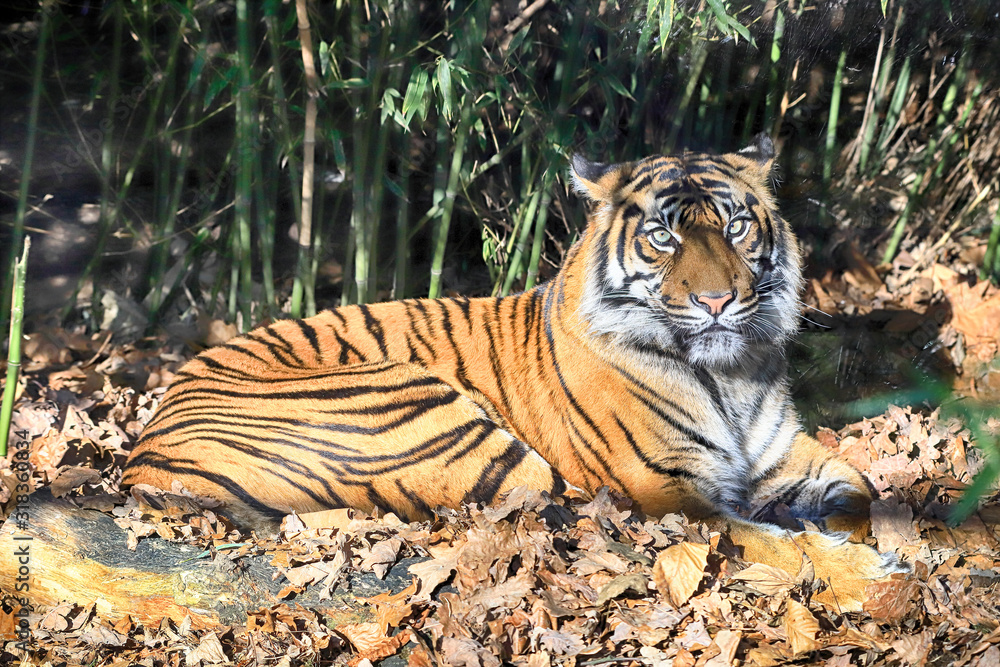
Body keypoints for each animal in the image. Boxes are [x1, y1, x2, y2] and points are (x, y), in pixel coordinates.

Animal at [123, 134, 905, 610]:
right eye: (664, 235)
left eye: (737, 226)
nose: (717, 300)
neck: (732, 373)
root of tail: (142, 456)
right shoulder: (671, 489)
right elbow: (774, 539)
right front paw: (865, 569)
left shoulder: (781, 455)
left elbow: (860, 492)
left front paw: (873, 532)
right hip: (436, 414)